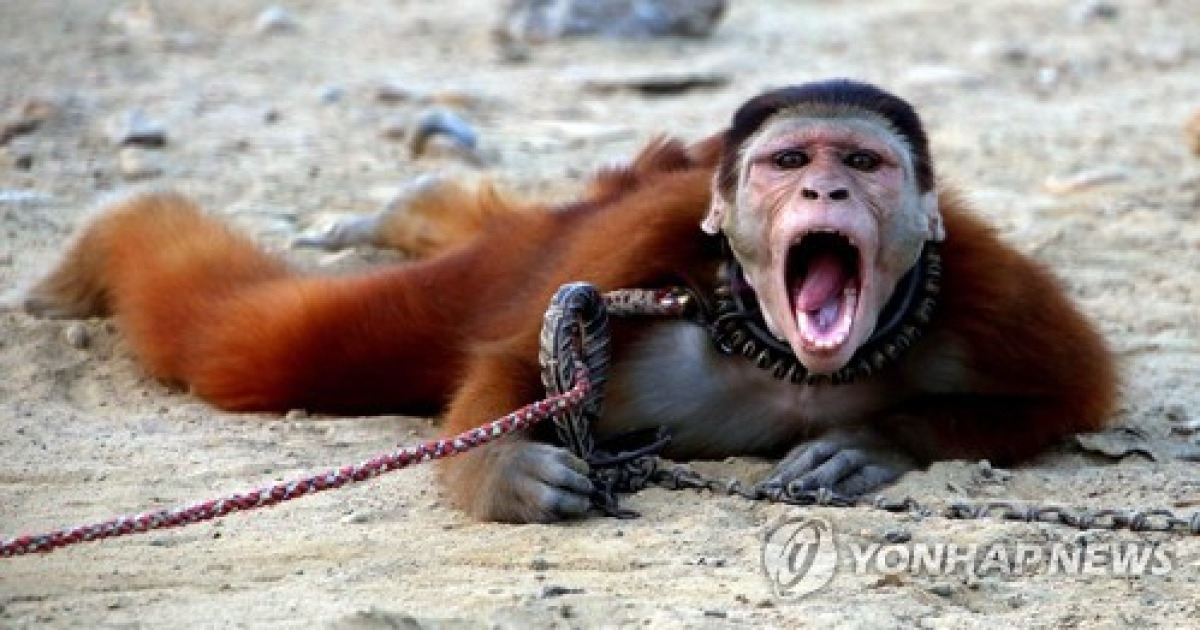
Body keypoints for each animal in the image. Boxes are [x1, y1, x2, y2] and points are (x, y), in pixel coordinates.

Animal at [24, 79, 1116, 523]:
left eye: (861, 164)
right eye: (791, 163)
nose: (825, 194)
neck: (787, 360)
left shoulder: (987, 289)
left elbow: (1071, 394)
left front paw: (869, 445)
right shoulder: (641, 242)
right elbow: (514, 369)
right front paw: (504, 471)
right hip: (539, 251)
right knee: (257, 347)